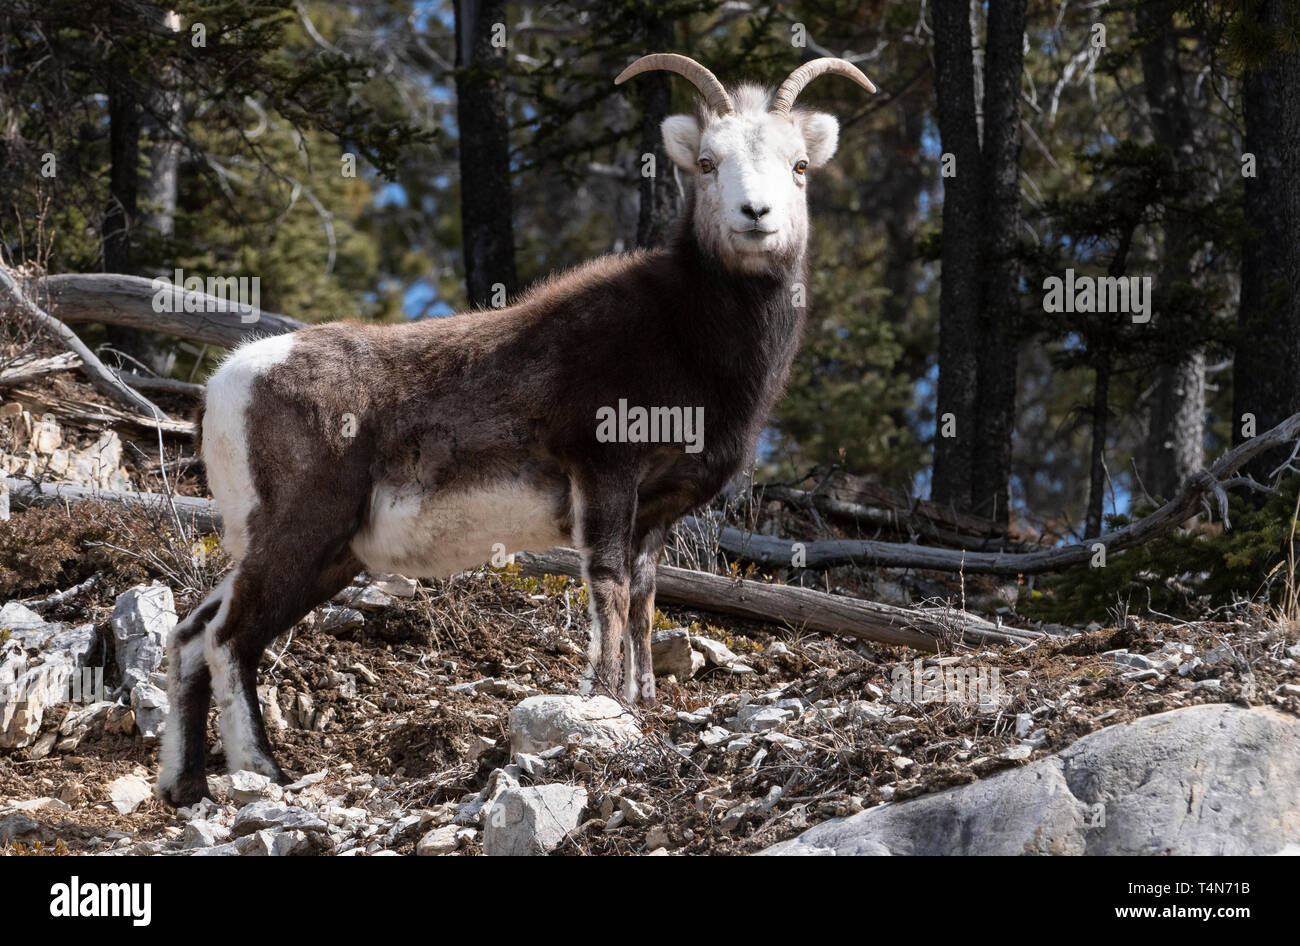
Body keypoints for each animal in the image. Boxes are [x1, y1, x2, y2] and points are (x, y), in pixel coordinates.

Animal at [156, 53, 876, 807]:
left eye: (799, 166)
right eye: (708, 163)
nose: (755, 215)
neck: (692, 340)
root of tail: (227, 385)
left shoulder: (654, 514)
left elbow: (645, 602)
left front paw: (644, 703)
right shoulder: (605, 478)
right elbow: (610, 591)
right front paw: (605, 703)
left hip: (314, 554)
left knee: (191, 635)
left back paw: (185, 786)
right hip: (300, 536)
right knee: (229, 638)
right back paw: (264, 773)